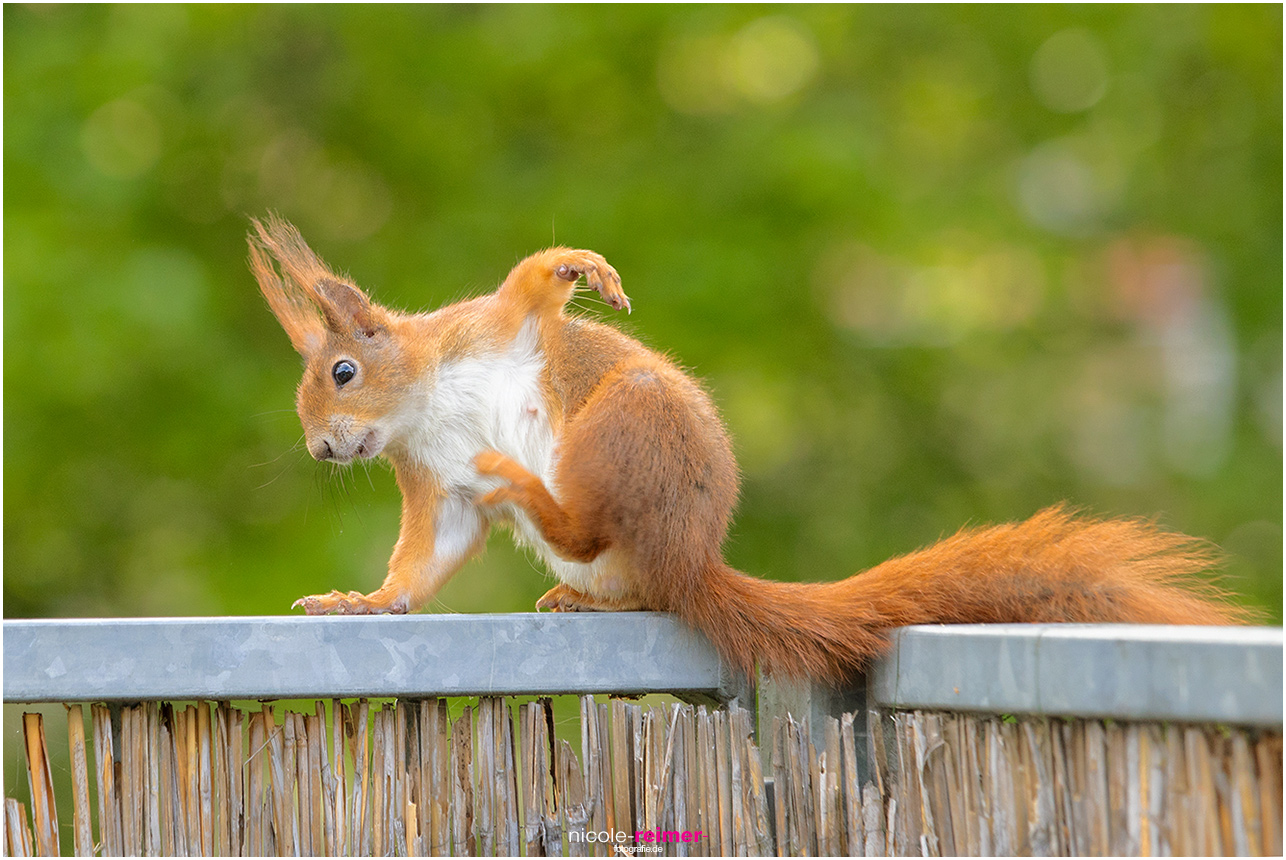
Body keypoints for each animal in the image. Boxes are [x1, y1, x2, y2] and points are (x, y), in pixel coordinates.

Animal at [248, 215, 1247, 685]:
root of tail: (694, 560)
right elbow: (422, 565)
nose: (322, 450)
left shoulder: (491, 331)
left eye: (342, 372)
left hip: (626, 423)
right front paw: (358, 602)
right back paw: (575, 588)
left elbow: (531, 285)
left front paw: (583, 268)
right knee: (614, 573)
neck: (427, 404)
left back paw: (525, 486)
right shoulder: (434, 481)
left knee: (588, 526)